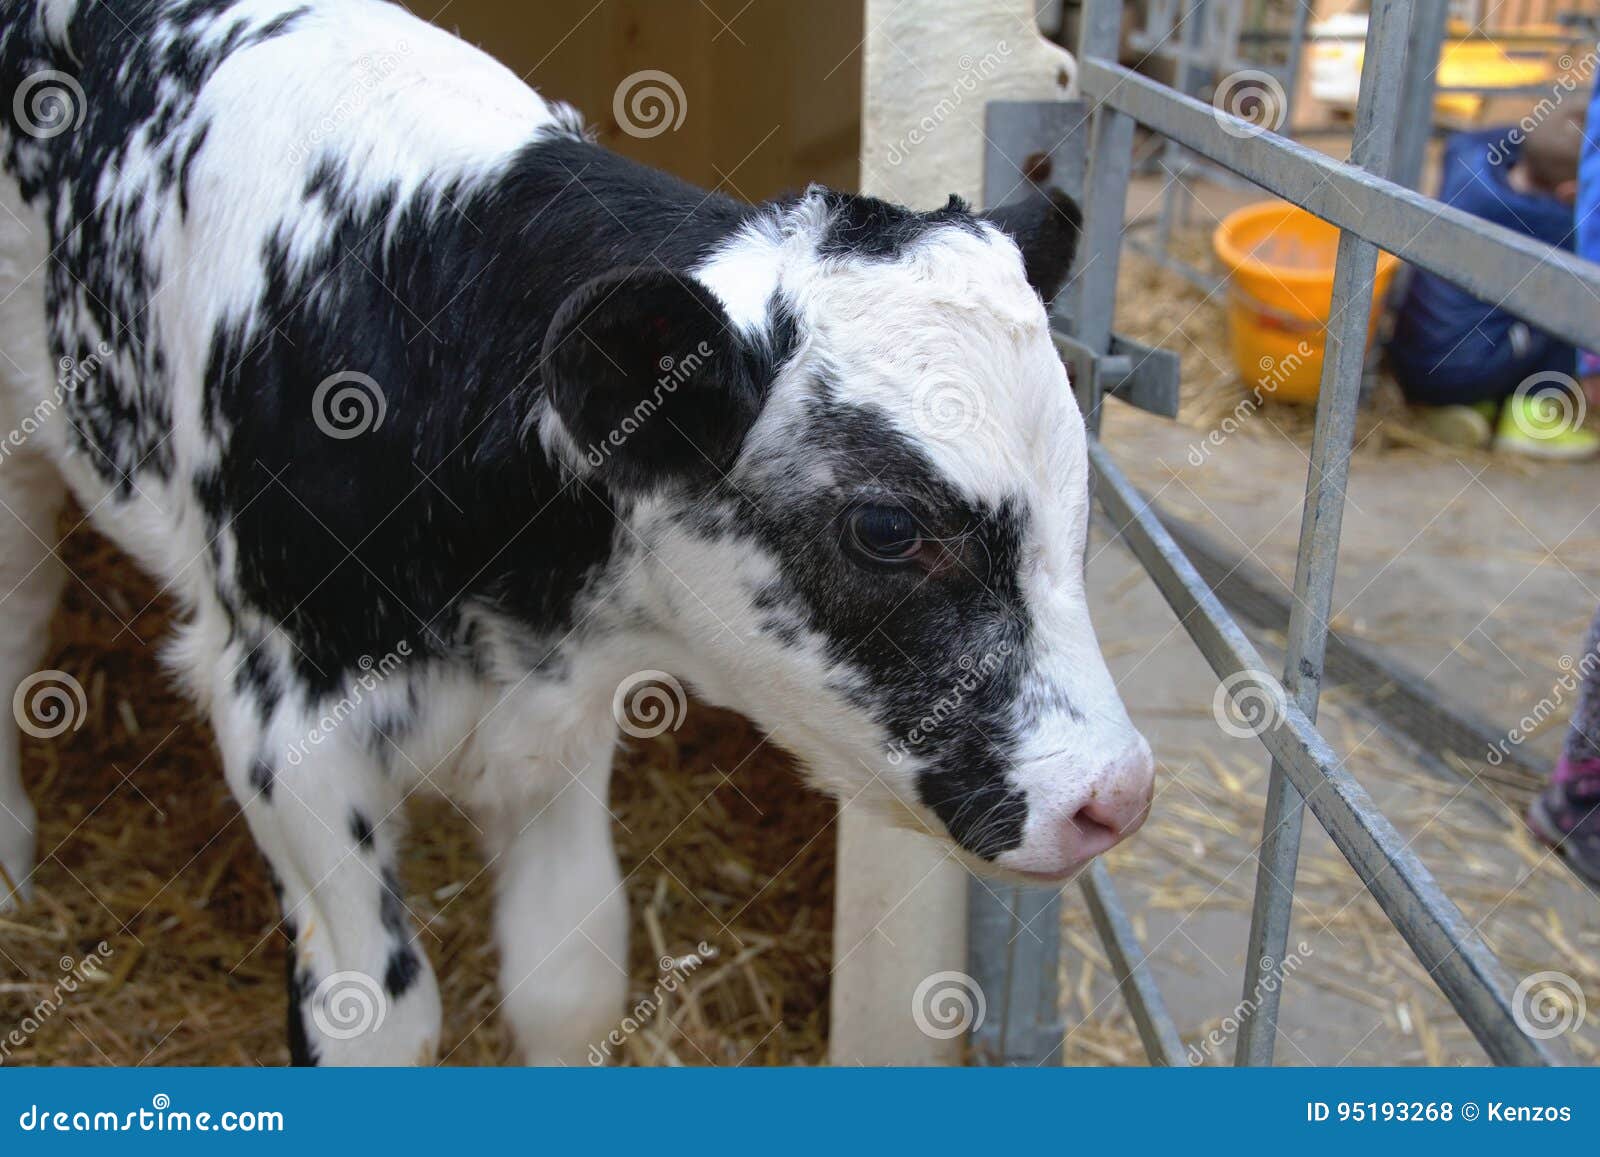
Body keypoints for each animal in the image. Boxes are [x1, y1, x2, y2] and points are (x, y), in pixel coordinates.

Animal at [0, 0, 1153, 1064]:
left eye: (1078, 489)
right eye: (885, 525)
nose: (1116, 795)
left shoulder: (563, 702)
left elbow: (569, 978)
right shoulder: (281, 723)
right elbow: (377, 1018)